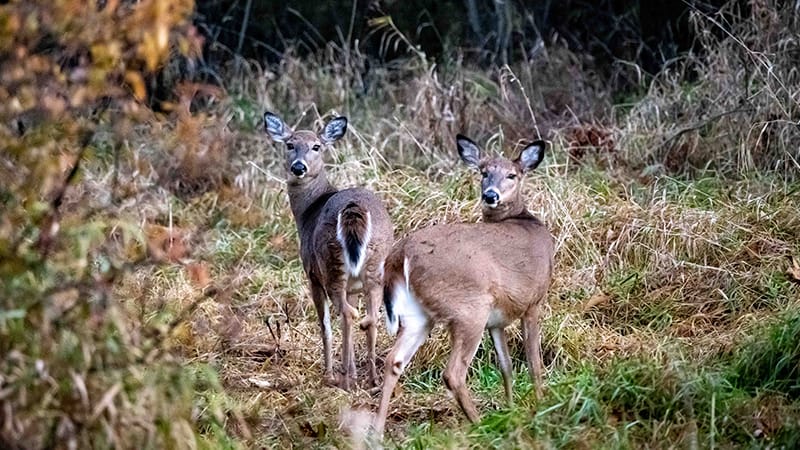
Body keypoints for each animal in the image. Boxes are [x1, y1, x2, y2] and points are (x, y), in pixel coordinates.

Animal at [264, 112, 393, 391]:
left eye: (316, 146)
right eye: (289, 144)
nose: (298, 167)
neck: (307, 212)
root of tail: (354, 209)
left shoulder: (312, 275)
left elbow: (324, 325)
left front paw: (331, 372)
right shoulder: (353, 287)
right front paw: (352, 368)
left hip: (331, 264)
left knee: (347, 314)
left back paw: (342, 379)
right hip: (375, 266)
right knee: (369, 317)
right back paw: (372, 379)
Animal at [373, 134, 554, 435]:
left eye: (511, 175)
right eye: (483, 172)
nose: (490, 195)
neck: (526, 223)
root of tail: (400, 255)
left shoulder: (497, 320)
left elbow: (506, 366)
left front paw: (511, 410)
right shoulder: (533, 300)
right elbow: (534, 364)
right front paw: (541, 408)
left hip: (419, 314)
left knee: (393, 360)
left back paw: (376, 431)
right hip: (468, 310)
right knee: (453, 373)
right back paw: (481, 425)